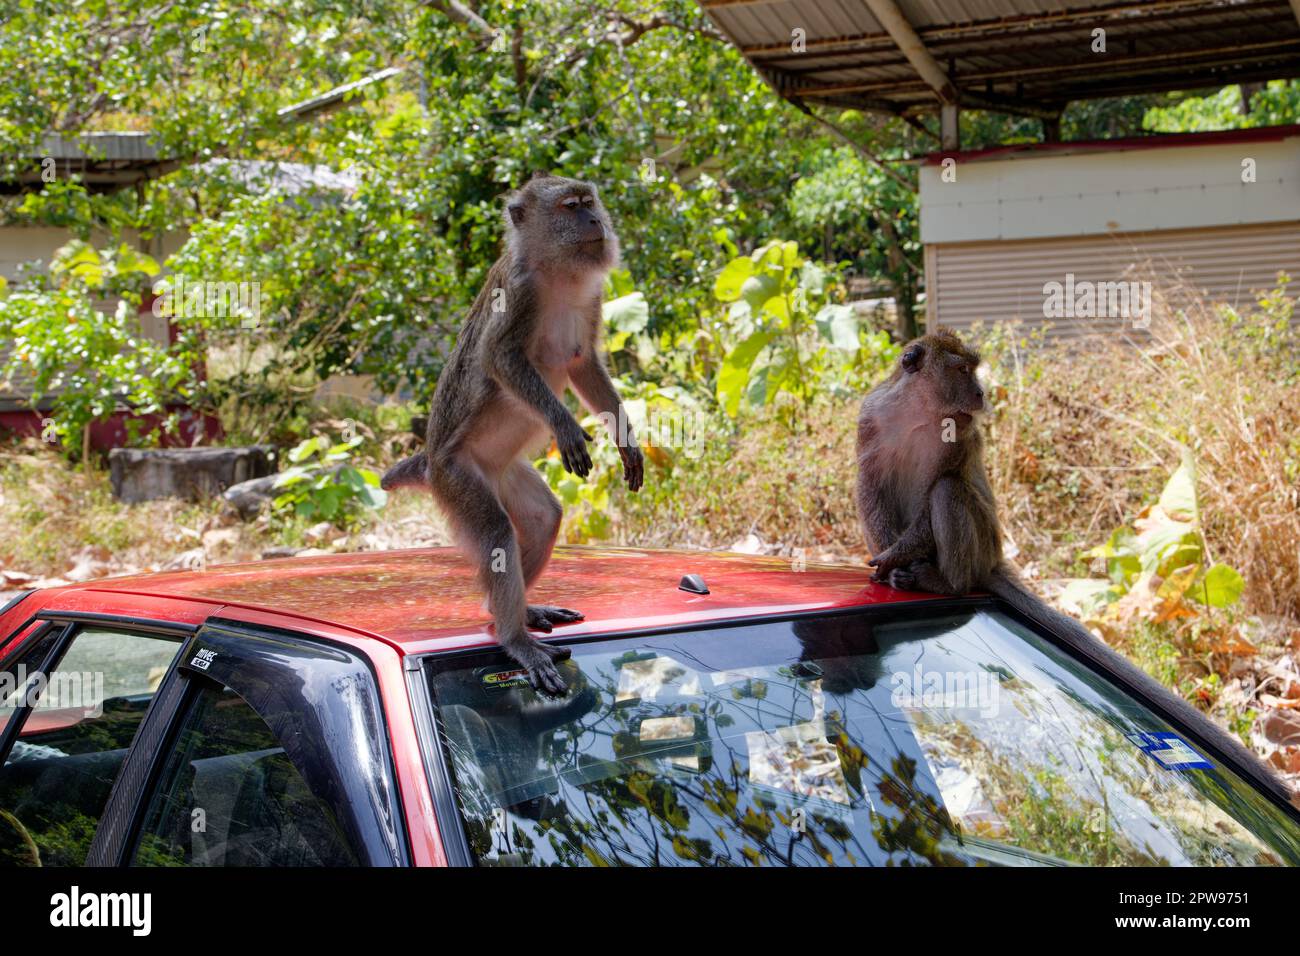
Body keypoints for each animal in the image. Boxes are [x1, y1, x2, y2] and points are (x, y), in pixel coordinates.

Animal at [382, 173, 643, 696]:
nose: (596, 221)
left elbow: (583, 363)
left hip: (503, 472)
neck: (555, 270)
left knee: (543, 518)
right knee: (498, 531)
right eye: (571, 207)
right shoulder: (520, 293)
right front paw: (563, 424)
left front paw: (626, 440)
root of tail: (430, 459)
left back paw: (515, 611)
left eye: (590, 202)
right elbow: (499, 358)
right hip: (459, 477)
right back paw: (513, 637)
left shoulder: (594, 296)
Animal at [853, 328, 1295, 808]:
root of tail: (992, 560)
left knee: (949, 489)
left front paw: (897, 556)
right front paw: (887, 557)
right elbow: (871, 486)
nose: (981, 392)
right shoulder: (872, 416)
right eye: (961, 369)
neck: (921, 410)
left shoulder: (960, 429)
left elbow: (941, 481)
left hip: (978, 546)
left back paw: (943, 582)